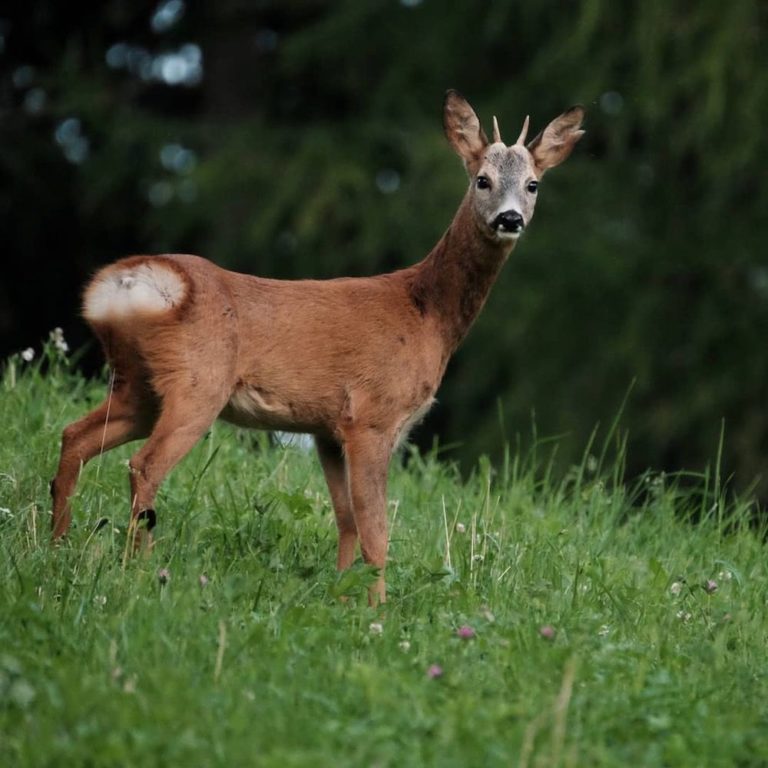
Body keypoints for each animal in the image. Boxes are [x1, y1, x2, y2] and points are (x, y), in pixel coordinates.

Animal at [51, 91, 584, 605]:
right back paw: (138, 568)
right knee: (144, 466)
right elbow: (376, 530)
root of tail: (123, 284)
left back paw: (56, 544)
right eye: (482, 180)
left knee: (74, 436)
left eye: (533, 184)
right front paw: (376, 611)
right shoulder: (373, 417)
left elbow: (345, 520)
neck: (427, 314)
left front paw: (341, 597)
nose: (510, 218)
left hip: (138, 385)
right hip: (198, 383)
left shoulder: (327, 428)